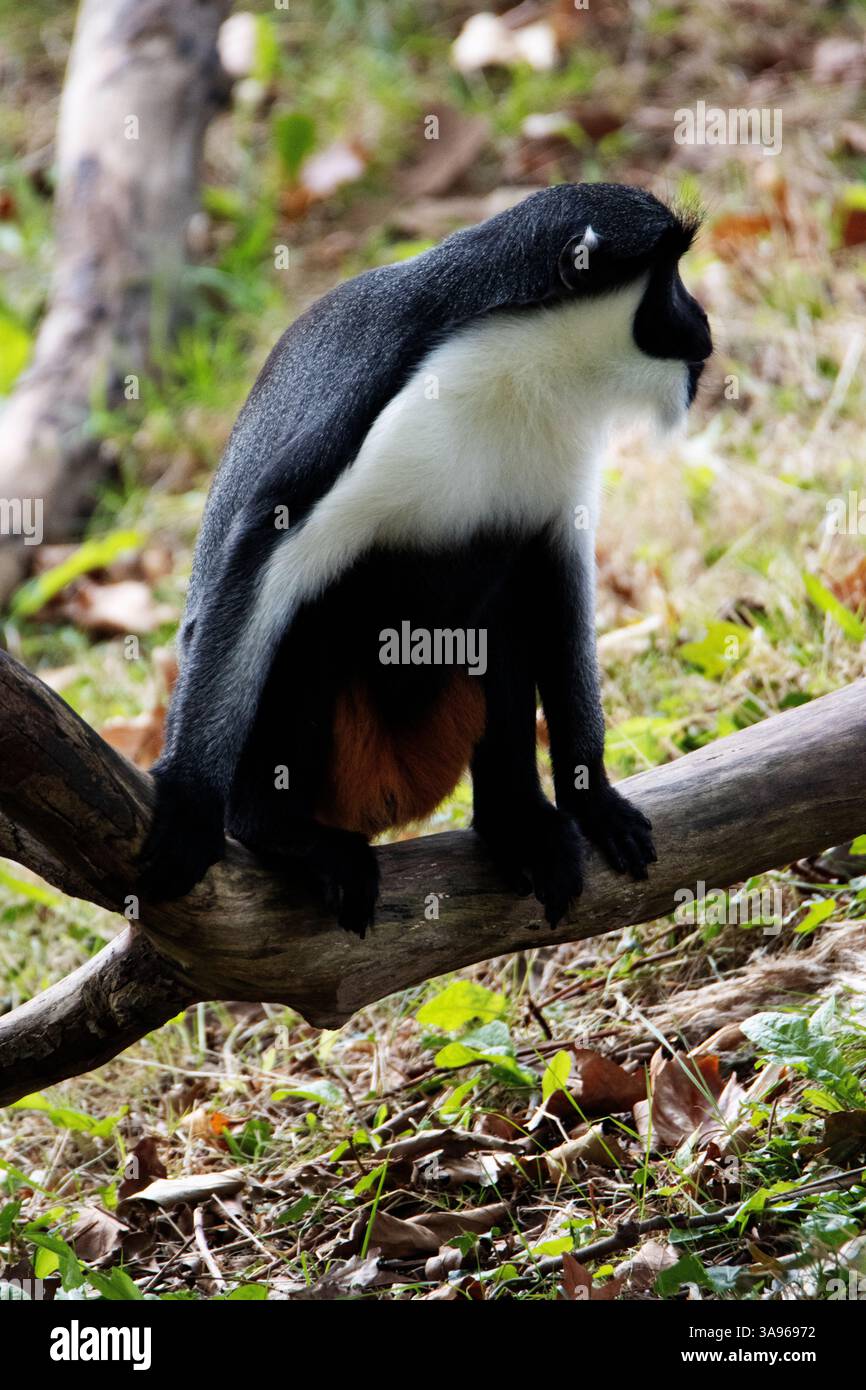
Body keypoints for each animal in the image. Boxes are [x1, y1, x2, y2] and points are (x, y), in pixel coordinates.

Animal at [139, 182, 713, 935]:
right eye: (667, 282)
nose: (702, 328)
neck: (525, 361)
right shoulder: (372, 416)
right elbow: (257, 556)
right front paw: (187, 811)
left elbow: (556, 587)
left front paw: (591, 798)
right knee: (309, 624)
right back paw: (277, 829)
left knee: (502, 611)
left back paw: (514, 820)